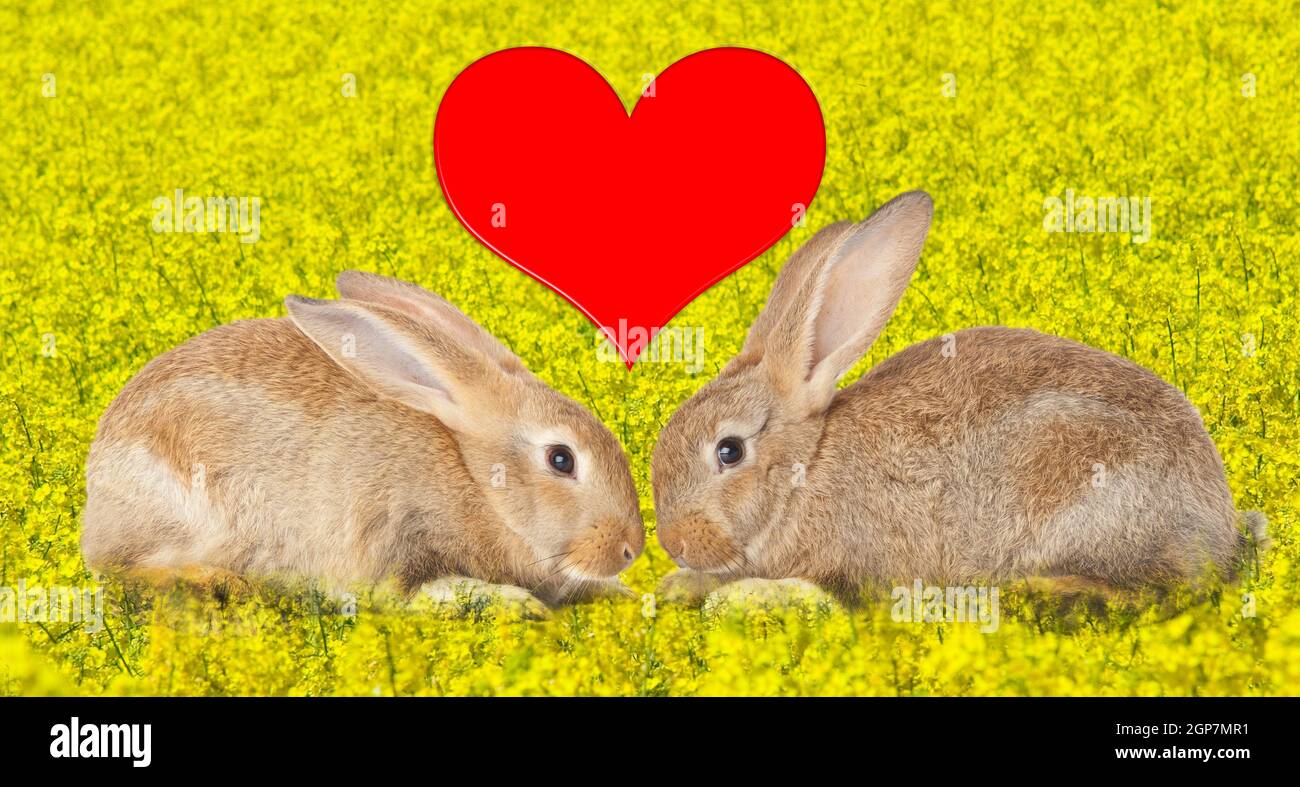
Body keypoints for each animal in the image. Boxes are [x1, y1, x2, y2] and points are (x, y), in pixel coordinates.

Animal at [82, 270, 645, 612]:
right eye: (561, 459)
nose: (629, 550)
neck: (481, 485)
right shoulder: (397, 542)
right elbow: (421, 592)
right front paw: (518, 603)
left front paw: (624, 594)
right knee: (121, 571)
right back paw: (217, 582)